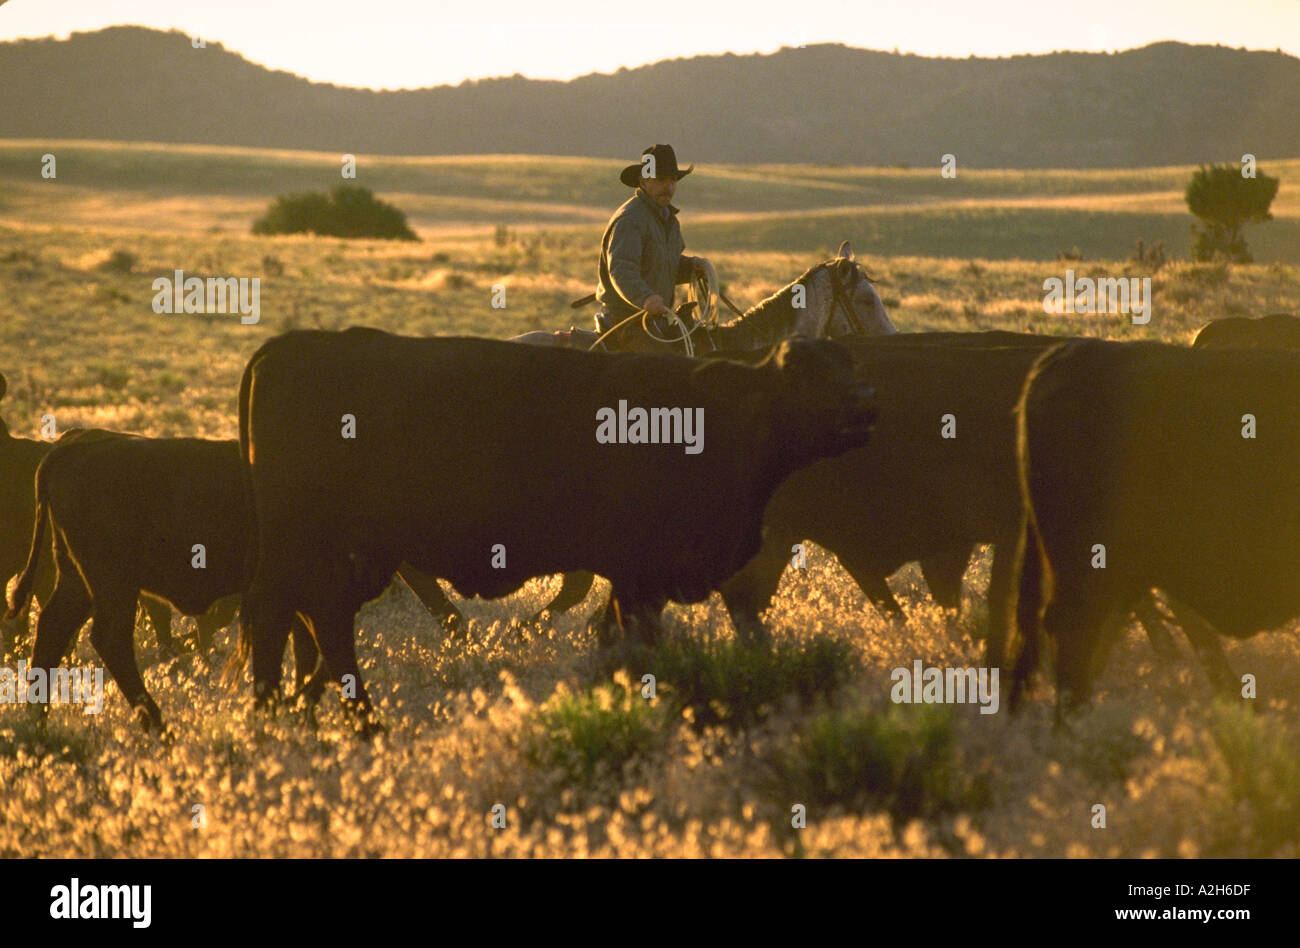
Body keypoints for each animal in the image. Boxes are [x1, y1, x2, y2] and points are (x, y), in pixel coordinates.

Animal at [232, 328, 877, 729]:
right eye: (801, 371)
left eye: (850, 364)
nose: (865, 407)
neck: (724, 414)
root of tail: (288, 346)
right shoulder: (642, 578)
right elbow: (638, 644)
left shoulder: (641, 580)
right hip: (306, 545)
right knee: (281, 614)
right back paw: (276, 718)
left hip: (352, 554)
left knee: (323, 619)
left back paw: (342, 720)